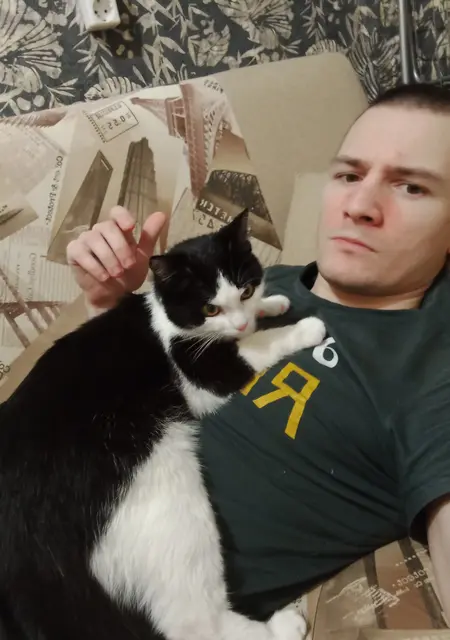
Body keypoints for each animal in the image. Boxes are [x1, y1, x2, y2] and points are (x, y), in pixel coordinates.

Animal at [0, 210, 326, 640]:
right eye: (209, 309)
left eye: (245, 290)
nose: (239, 325)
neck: (165, 317)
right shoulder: (206, 372)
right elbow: (259, 346)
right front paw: (302, 327)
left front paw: (270, 304)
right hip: (168, 504)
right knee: (199, 625)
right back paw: (283, 626)